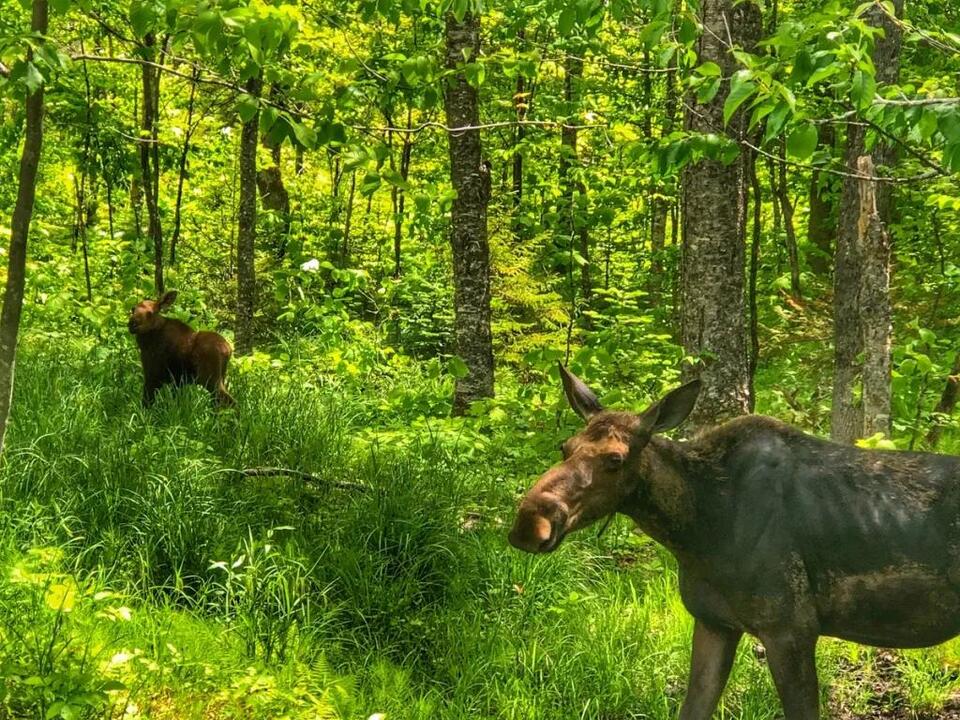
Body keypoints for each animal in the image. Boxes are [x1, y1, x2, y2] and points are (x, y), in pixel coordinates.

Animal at [509, 364, 960, 720]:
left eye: (615, 459)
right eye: (564, 446)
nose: (530, 523)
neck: (694, 531)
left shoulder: (790, 627)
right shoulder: (713, 621)